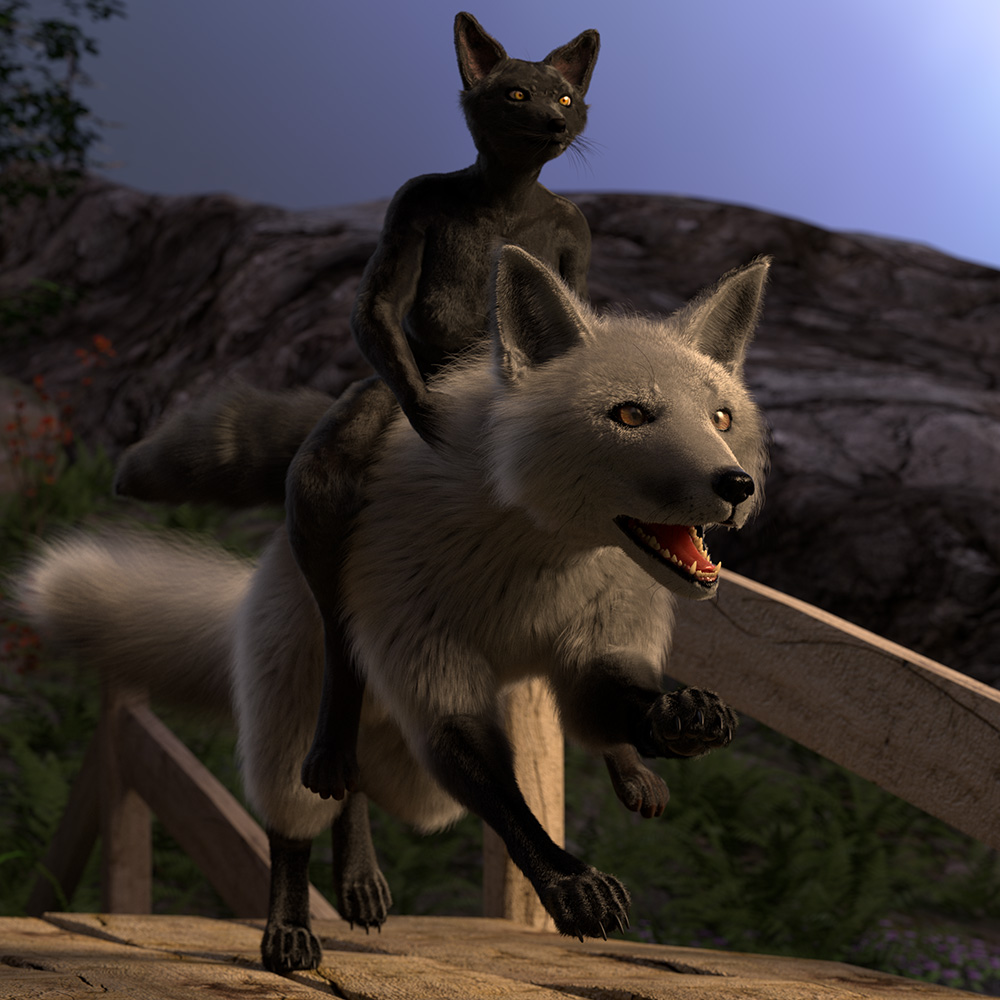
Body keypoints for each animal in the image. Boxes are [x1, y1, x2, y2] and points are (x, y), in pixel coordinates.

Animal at [19, 246, 769, 974]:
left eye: (721, 418)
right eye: (630, 415)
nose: (737, 485)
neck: (534, 569)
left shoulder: (595, 649)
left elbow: (611, 705)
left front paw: (679, 718)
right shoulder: (426, 654)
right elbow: (503, 798)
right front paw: (569, 884)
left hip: (415, 781)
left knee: (359, 788)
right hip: (297, 710)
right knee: (298, 809)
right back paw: (289, 929)